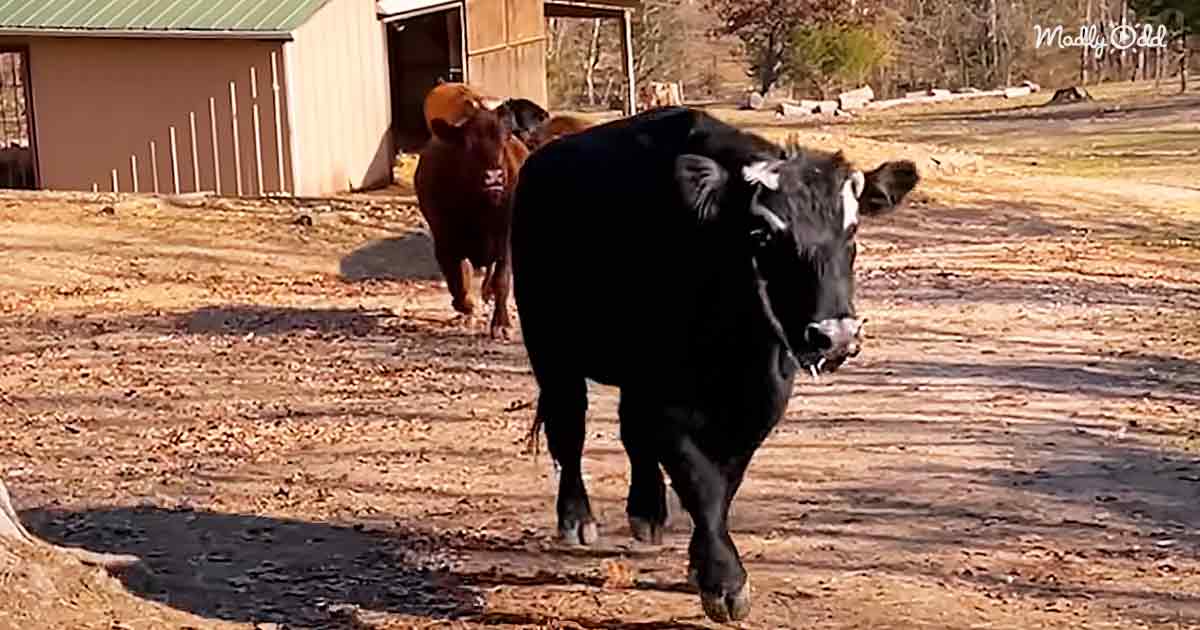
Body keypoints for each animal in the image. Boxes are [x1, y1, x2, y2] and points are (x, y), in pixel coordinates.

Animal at [415, 101, 530, 338]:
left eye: (504, 140)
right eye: (468, 144)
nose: (494, 177)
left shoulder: (505, 239)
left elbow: (502, 279)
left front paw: (501, 324)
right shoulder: (444, 240)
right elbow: (457, 279)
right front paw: (467, 306)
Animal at [510, 107, 918, 623]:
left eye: (853, 231)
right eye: (763, 235)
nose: (835, 335)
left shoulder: (761, 401)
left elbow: (725, 480)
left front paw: (701, 562)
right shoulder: (665, 399)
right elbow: (699, 480)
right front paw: (724, 580)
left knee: (630, 431)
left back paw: (648, 510)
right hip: (550, 347)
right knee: (570, 426)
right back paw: (577, 517)